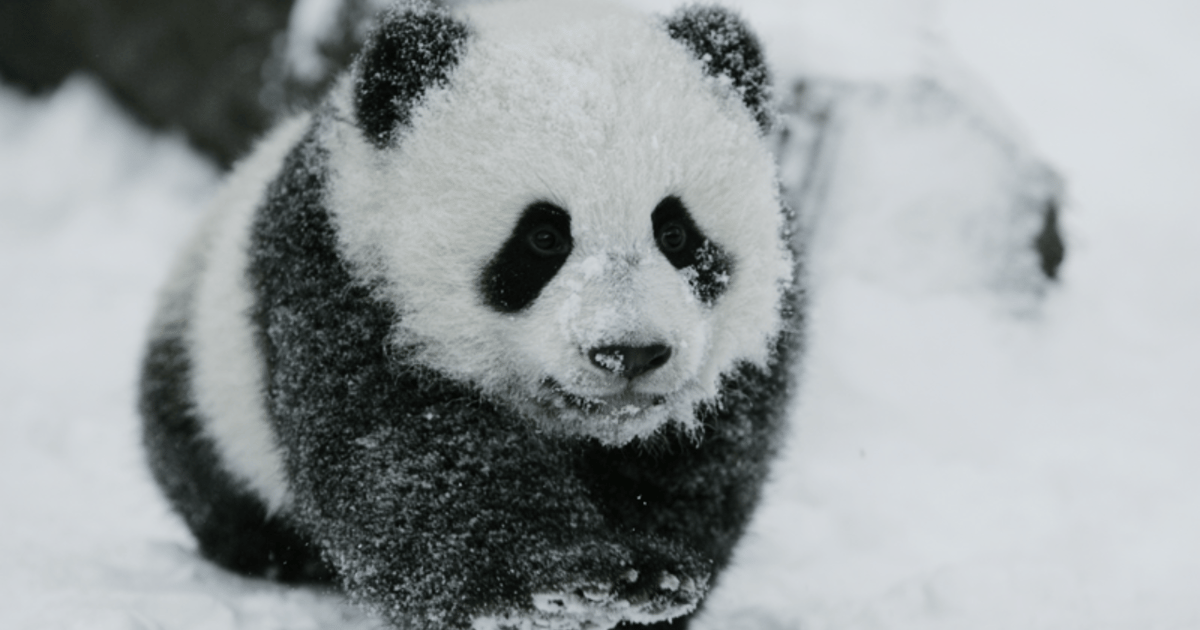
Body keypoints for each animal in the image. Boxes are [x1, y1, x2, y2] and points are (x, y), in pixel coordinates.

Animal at [139, 1, 801, 629]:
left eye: (676, 233)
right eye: (542, 238)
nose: (630, 353)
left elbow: (699, 472)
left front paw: (653, 576)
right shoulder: (343, 282)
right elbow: (411, 462)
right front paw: (572, 581)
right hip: (206, 393)